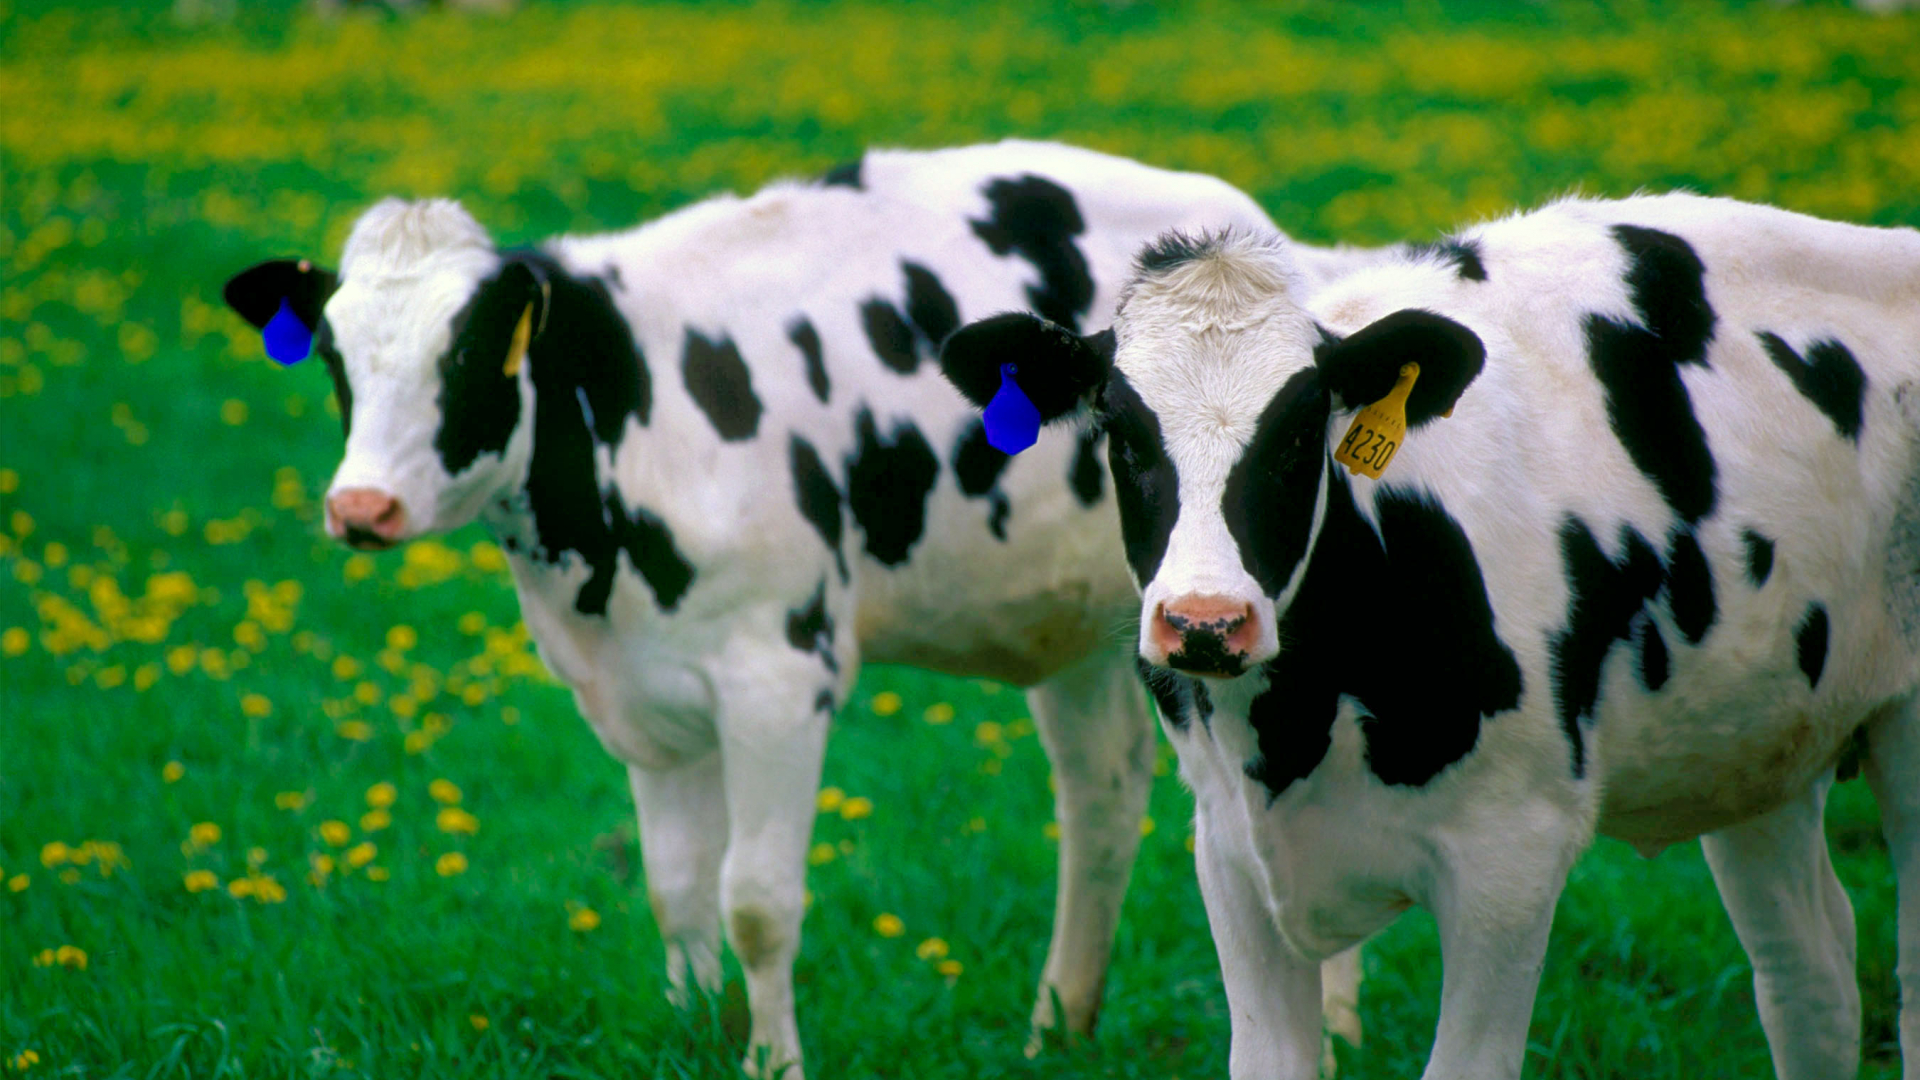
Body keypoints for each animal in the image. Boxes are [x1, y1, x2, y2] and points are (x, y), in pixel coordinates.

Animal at [218, 140, 1387, 1078]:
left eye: (467, 353)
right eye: (334, 355)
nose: (360, 507)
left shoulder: (778, 675)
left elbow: (757, 900)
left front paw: (770, 1060)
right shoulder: (642, 689)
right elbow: (676, 886)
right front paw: (691, 1030)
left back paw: (1332, 1028)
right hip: (1092, 631)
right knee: (1098, 802)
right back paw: (1058, 1024)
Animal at [940, 191, 1920, 1080]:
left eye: (1302, 431)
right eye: (1120, 431)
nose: (1205, 622)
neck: (1297, 730)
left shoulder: (1511, 860)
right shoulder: (1232, 855)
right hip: (1757, 745)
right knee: (1809, 978)